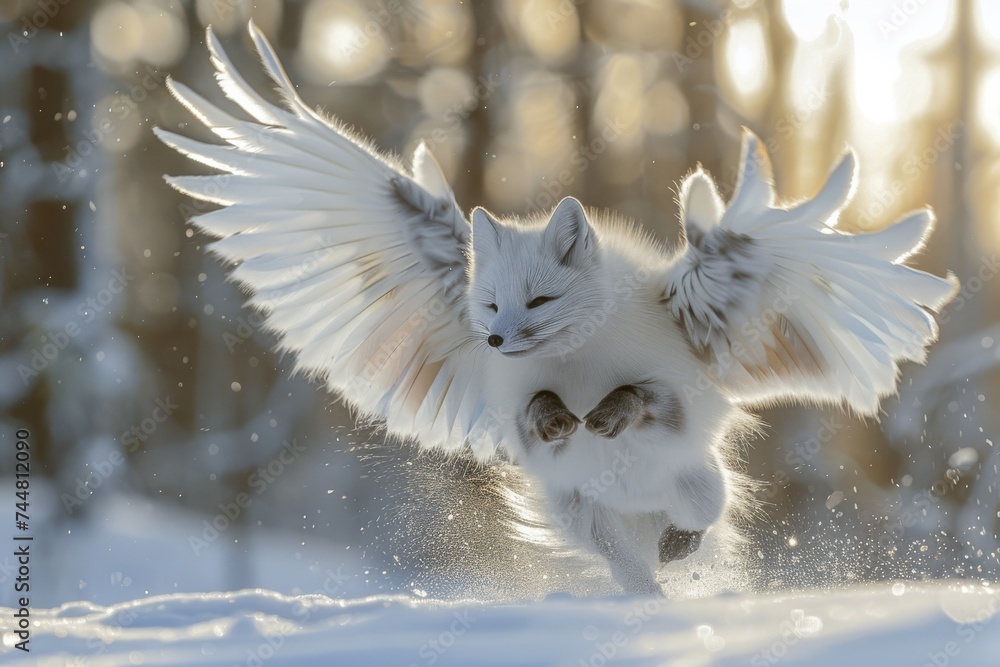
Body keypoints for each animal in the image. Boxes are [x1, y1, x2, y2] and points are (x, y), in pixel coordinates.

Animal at [158, 23, 958, 595]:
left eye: (540, 298)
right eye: (488, 305)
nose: (498, 339)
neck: (580, 358)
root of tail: (637, 512)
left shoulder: (674, 391)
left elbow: (641, 395)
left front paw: (605, 414)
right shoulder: (513, 406)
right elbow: (536, 408)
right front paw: (561, 419)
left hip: (698, 479)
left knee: (700, 519)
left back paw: (678, 545)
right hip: (582, 515)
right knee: (633, 575)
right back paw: (646, 593)